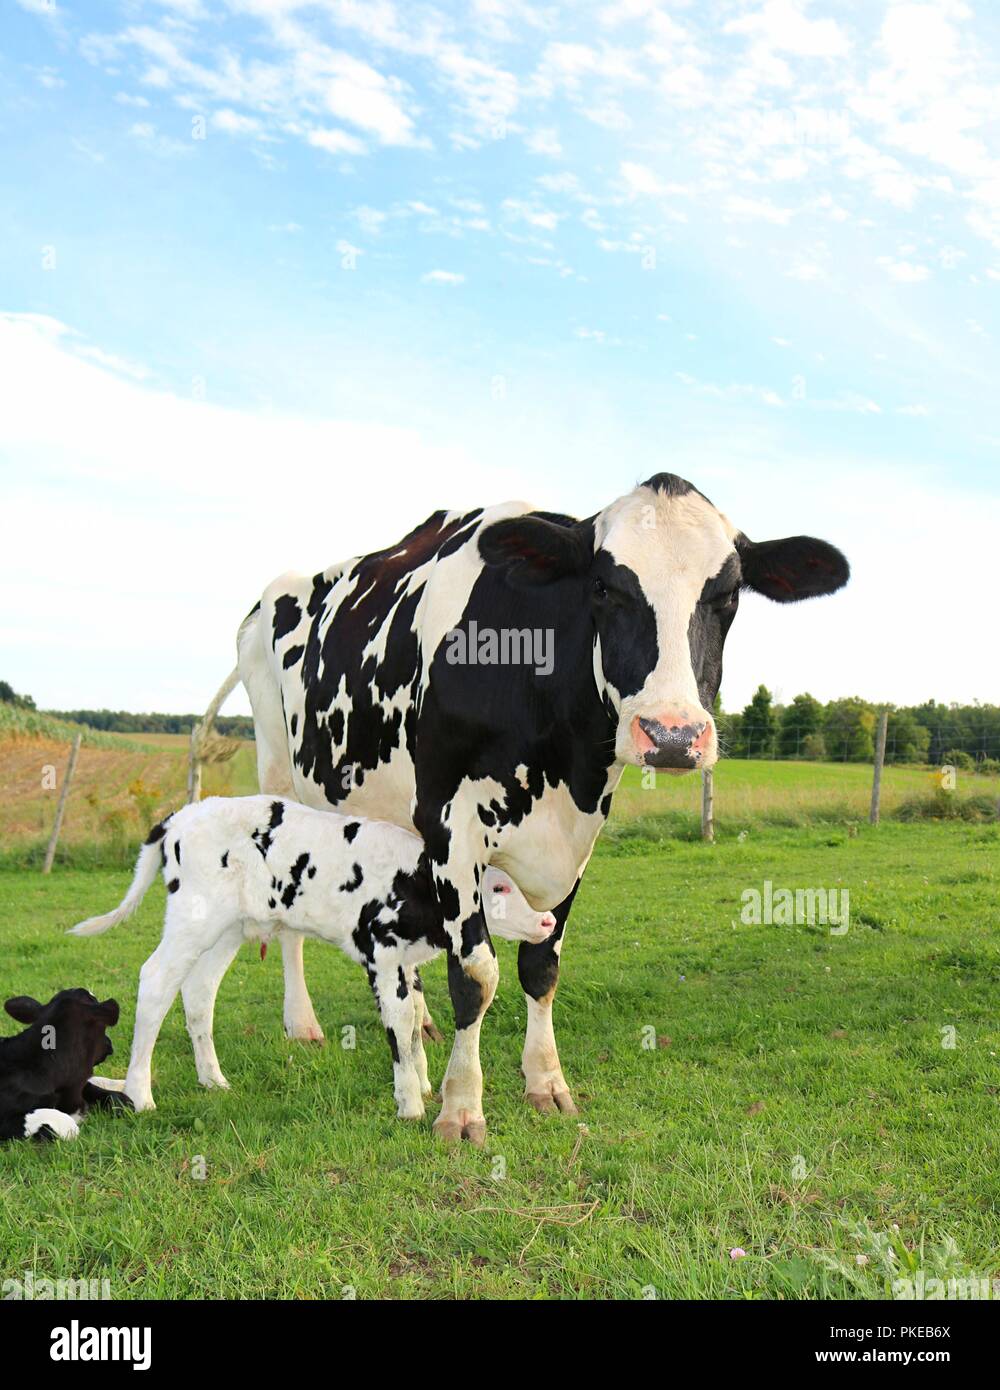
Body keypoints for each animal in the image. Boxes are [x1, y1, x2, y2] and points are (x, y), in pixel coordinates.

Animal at [68, 796, 555, 1117]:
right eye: (498, 887)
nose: (548, 920)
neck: (417, 880)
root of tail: (180, 816)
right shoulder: (380, 955)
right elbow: (400, 1023)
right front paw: (410, 1105)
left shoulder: (406, 961)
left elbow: (416, 1018)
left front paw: (423, 1084)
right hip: (193, 916)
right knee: (156, 980)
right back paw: (140, 1094)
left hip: (227, 927)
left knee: (199, 990)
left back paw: (213, 1080)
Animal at [226, 472, 848, 1143]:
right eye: (603, 587)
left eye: (728, 594)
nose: (674, 735)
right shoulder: (451, 828)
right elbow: (476, 976)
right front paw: (461, 1107)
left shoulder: (577, 836)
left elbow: (542, 966)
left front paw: (546, 1083)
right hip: (280, 776)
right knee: (288, 920)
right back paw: (303, 1023)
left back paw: (416, 1017)